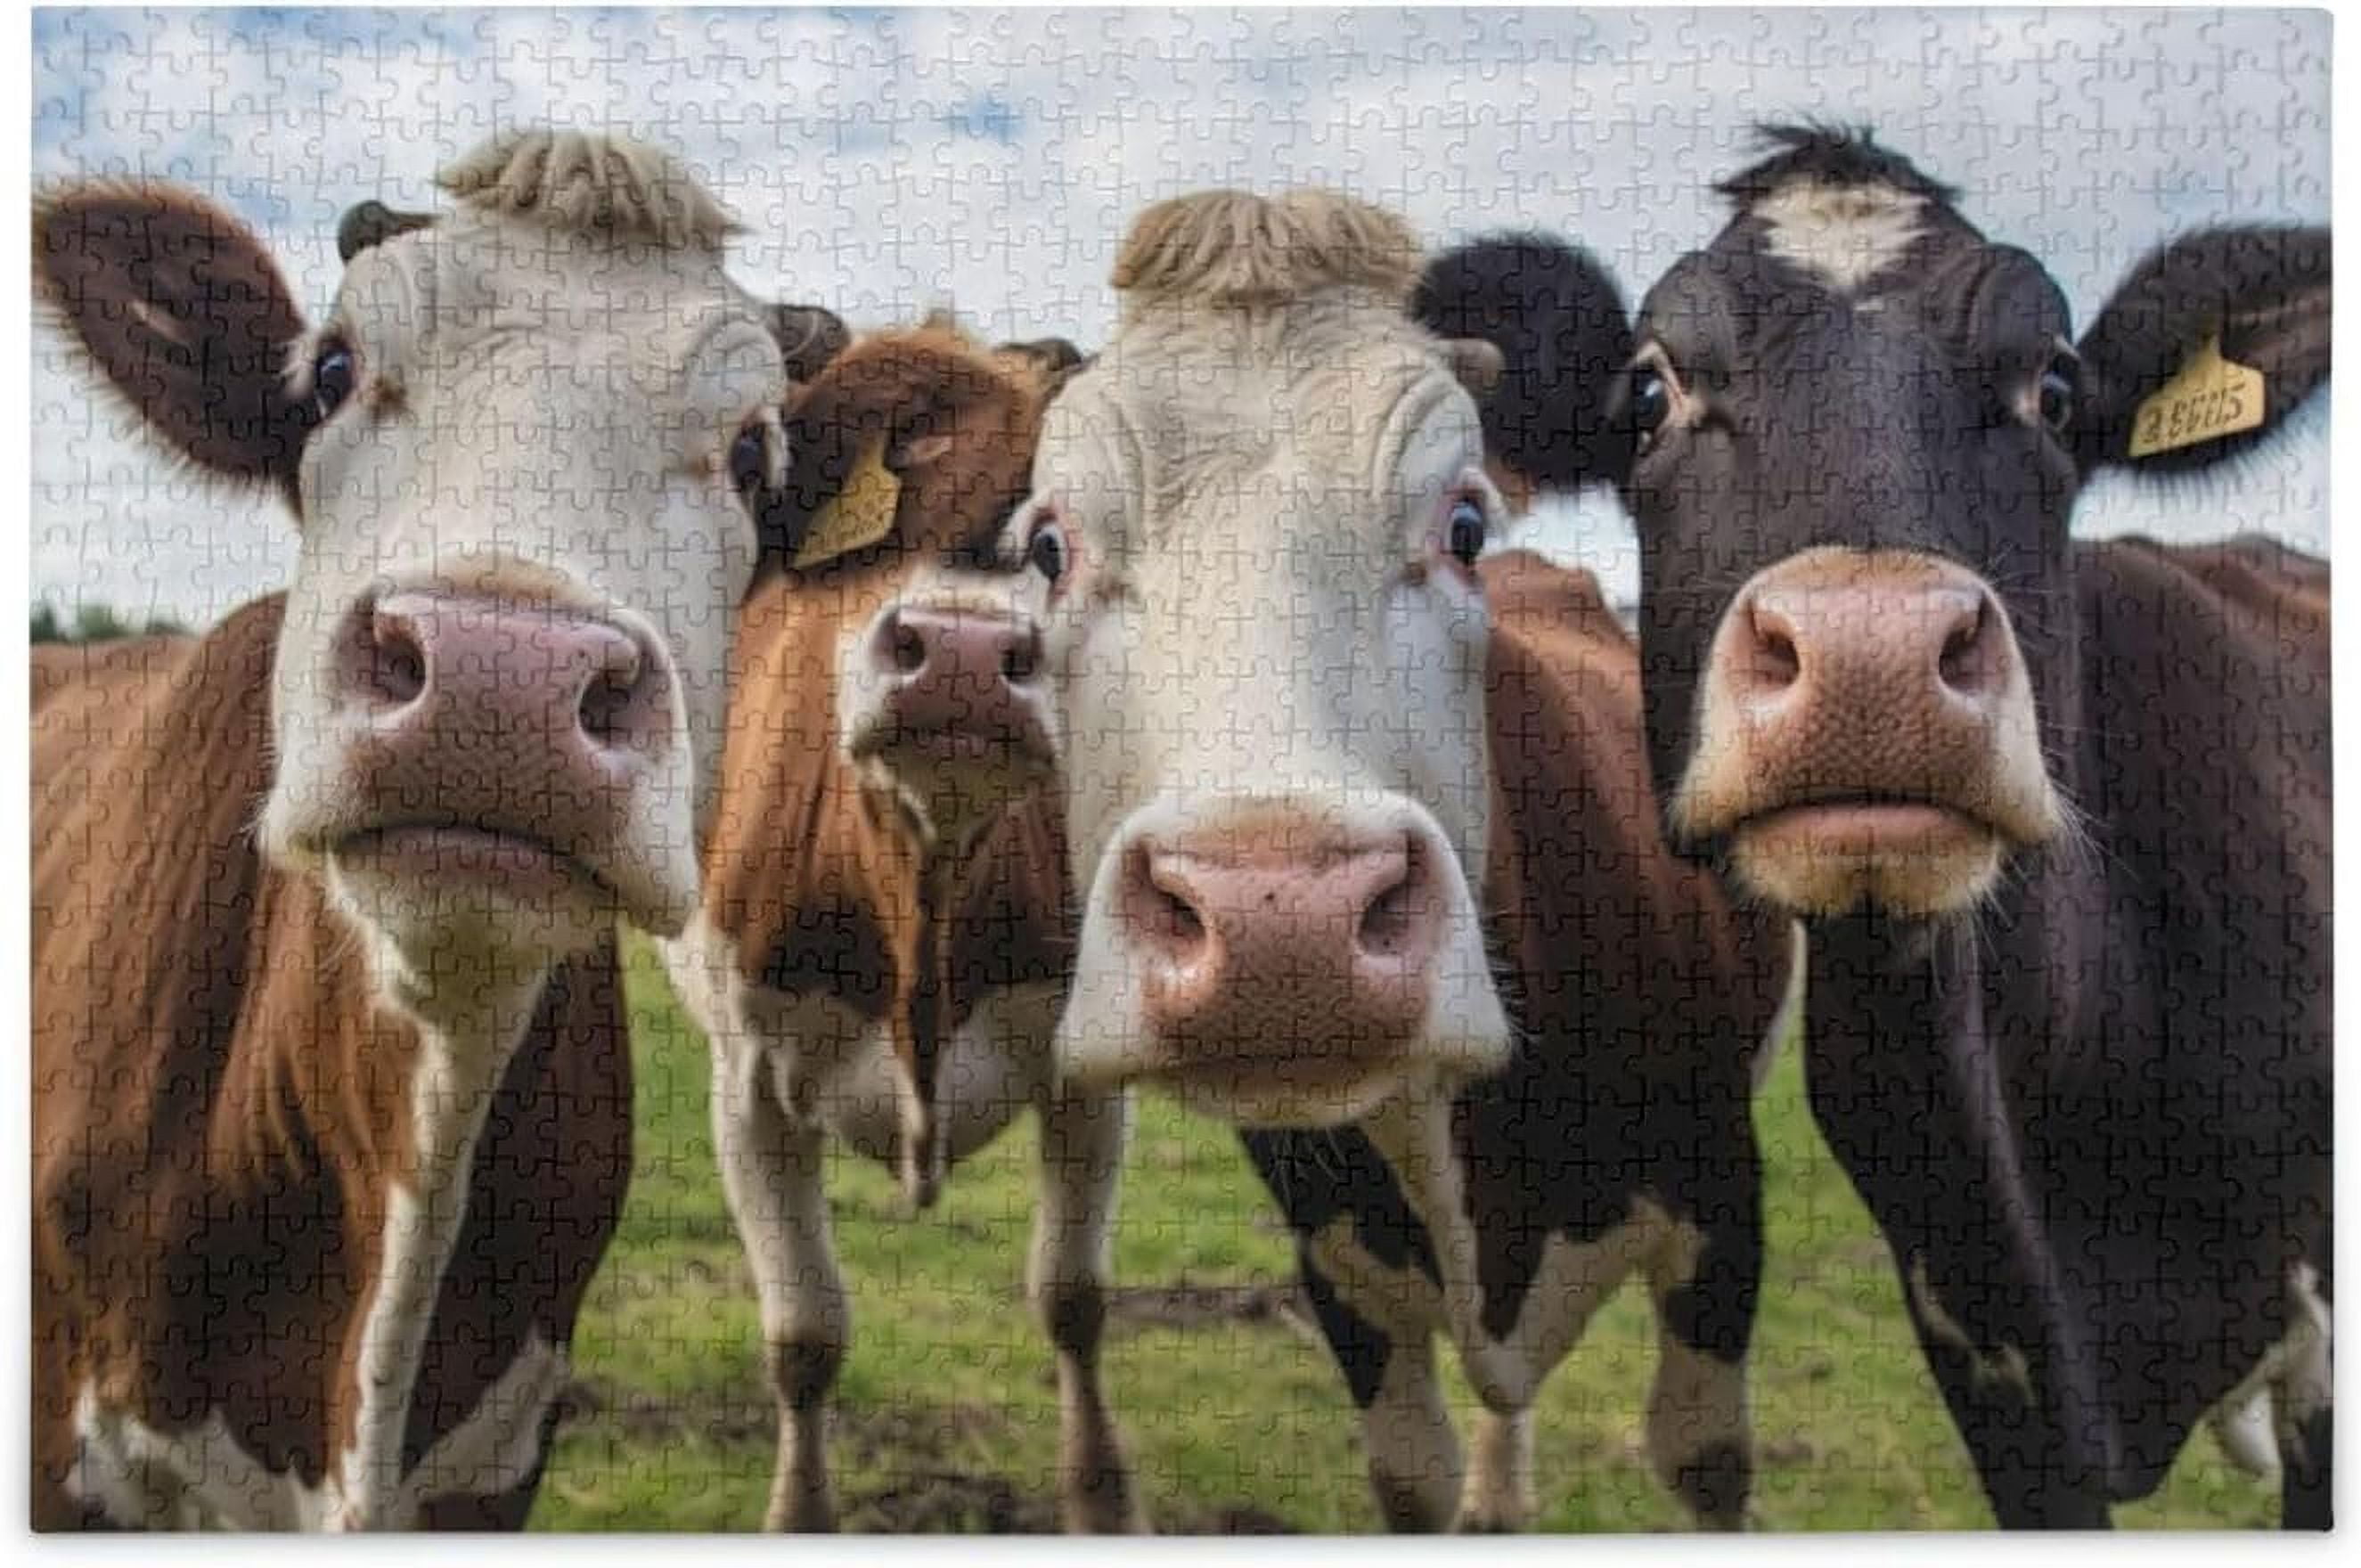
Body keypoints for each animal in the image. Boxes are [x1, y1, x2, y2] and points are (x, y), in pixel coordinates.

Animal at [655, 324, 1141, 1532]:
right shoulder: (747, 1084)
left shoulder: (1085, 1075)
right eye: (891, 535)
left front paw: (1101, 1496)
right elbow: (804, 1338)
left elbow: (1073, 1297)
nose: (960, 654)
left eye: (1055, 547)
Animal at [846, 190, 1799, 1531]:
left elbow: (1706, 1464)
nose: (1276, 920)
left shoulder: (1723, 1213)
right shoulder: (1340, 1270)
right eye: (1047, 549)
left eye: (1463, 524)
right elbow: (1410, 1474)